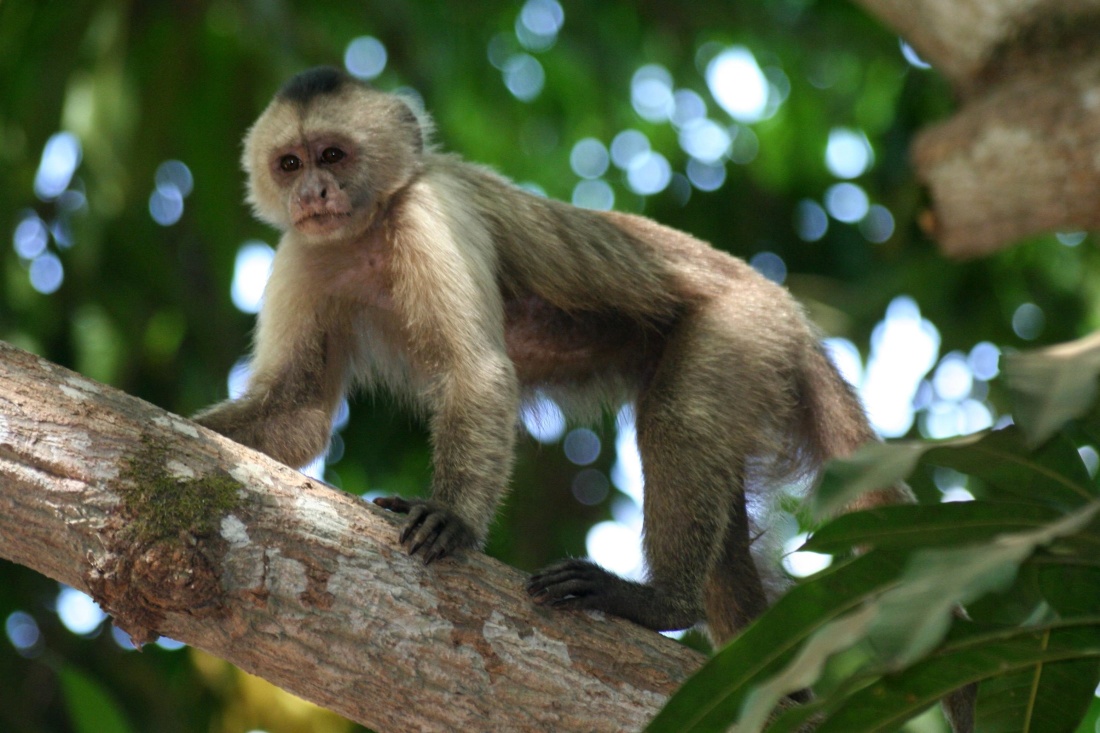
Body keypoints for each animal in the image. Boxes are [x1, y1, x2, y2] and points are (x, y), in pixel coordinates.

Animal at [194, 66, 909, 648]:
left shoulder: (431, 212)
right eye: (290, 164)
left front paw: (452, 517)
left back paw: (659, 603)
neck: (366, 229)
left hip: (741, 326)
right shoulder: (304, 252)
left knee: (677, 420)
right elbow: (300, 412)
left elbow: (475, 370)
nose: (313, 193)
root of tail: (788, 307)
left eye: (334, 156)